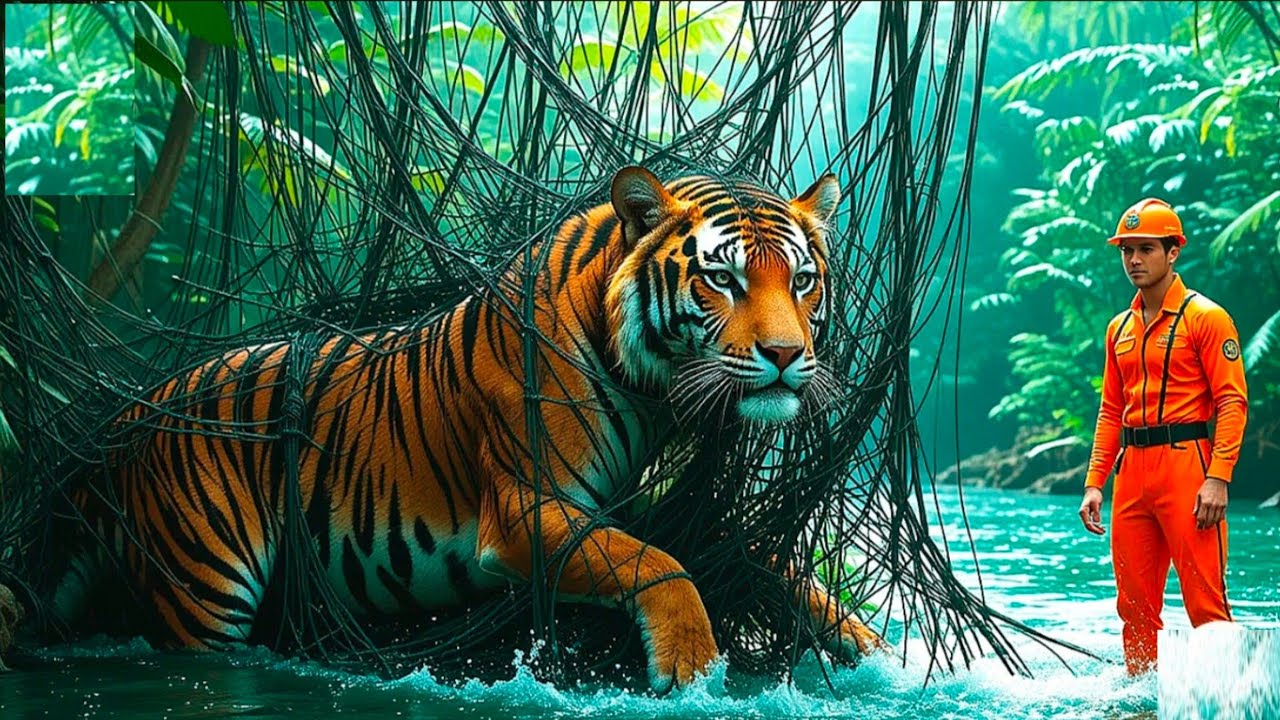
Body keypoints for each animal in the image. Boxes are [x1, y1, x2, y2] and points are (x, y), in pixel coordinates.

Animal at [34, 166, 885, 691]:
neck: (650, 388)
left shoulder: (630, 497)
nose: (787, 357)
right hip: (205, 586)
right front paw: (693, 668)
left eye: (801, 280)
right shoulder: (523, 511)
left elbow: (775, 562)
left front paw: (876, 649)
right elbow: (658, 563)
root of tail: (124, 417)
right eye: (722, 278)